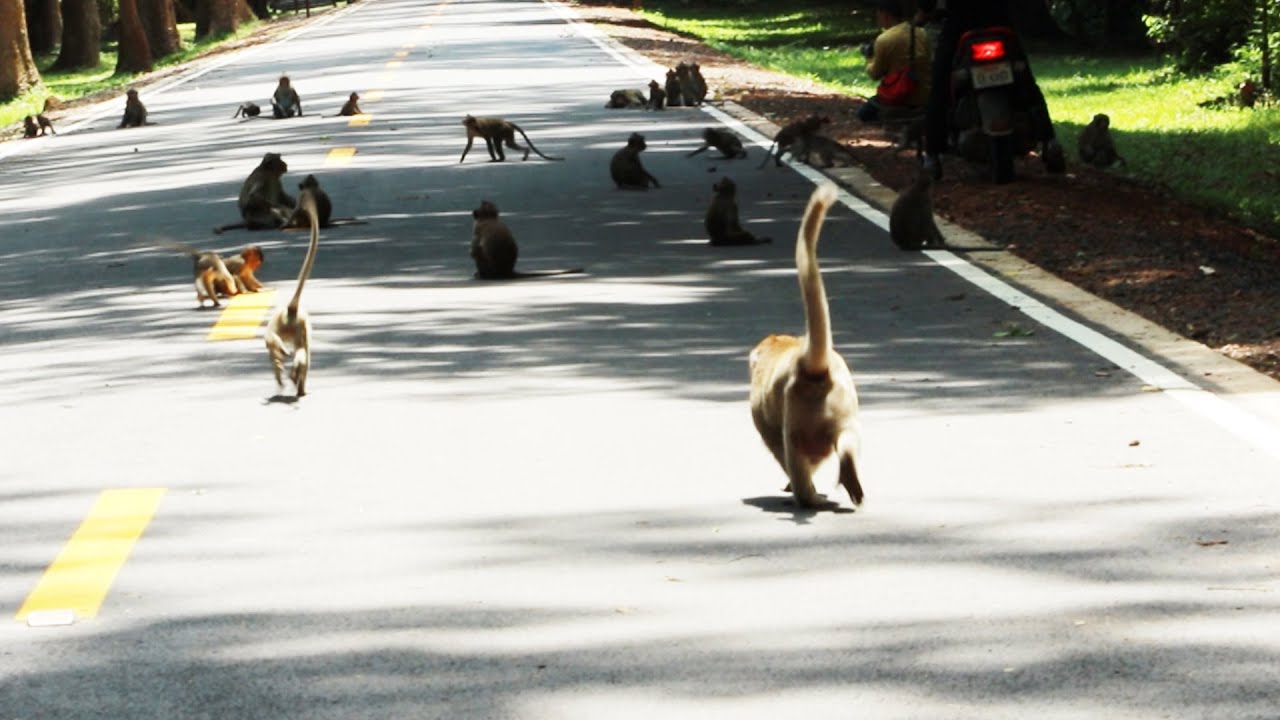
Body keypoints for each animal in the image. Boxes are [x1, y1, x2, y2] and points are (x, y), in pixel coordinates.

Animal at [264, 186, 320, 397]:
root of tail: (290, 308)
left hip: (292, 328)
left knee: (294, 351)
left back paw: (292, 380)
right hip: (299, 326)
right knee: (301, 351)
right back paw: (297, 382)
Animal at [748, 183, 863, 510]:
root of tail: (809, 367)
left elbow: (778, 446)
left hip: (798, 412)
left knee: (794, 450)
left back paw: (807, 497)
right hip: (843, 403)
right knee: (848, 437)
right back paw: (848, 474)